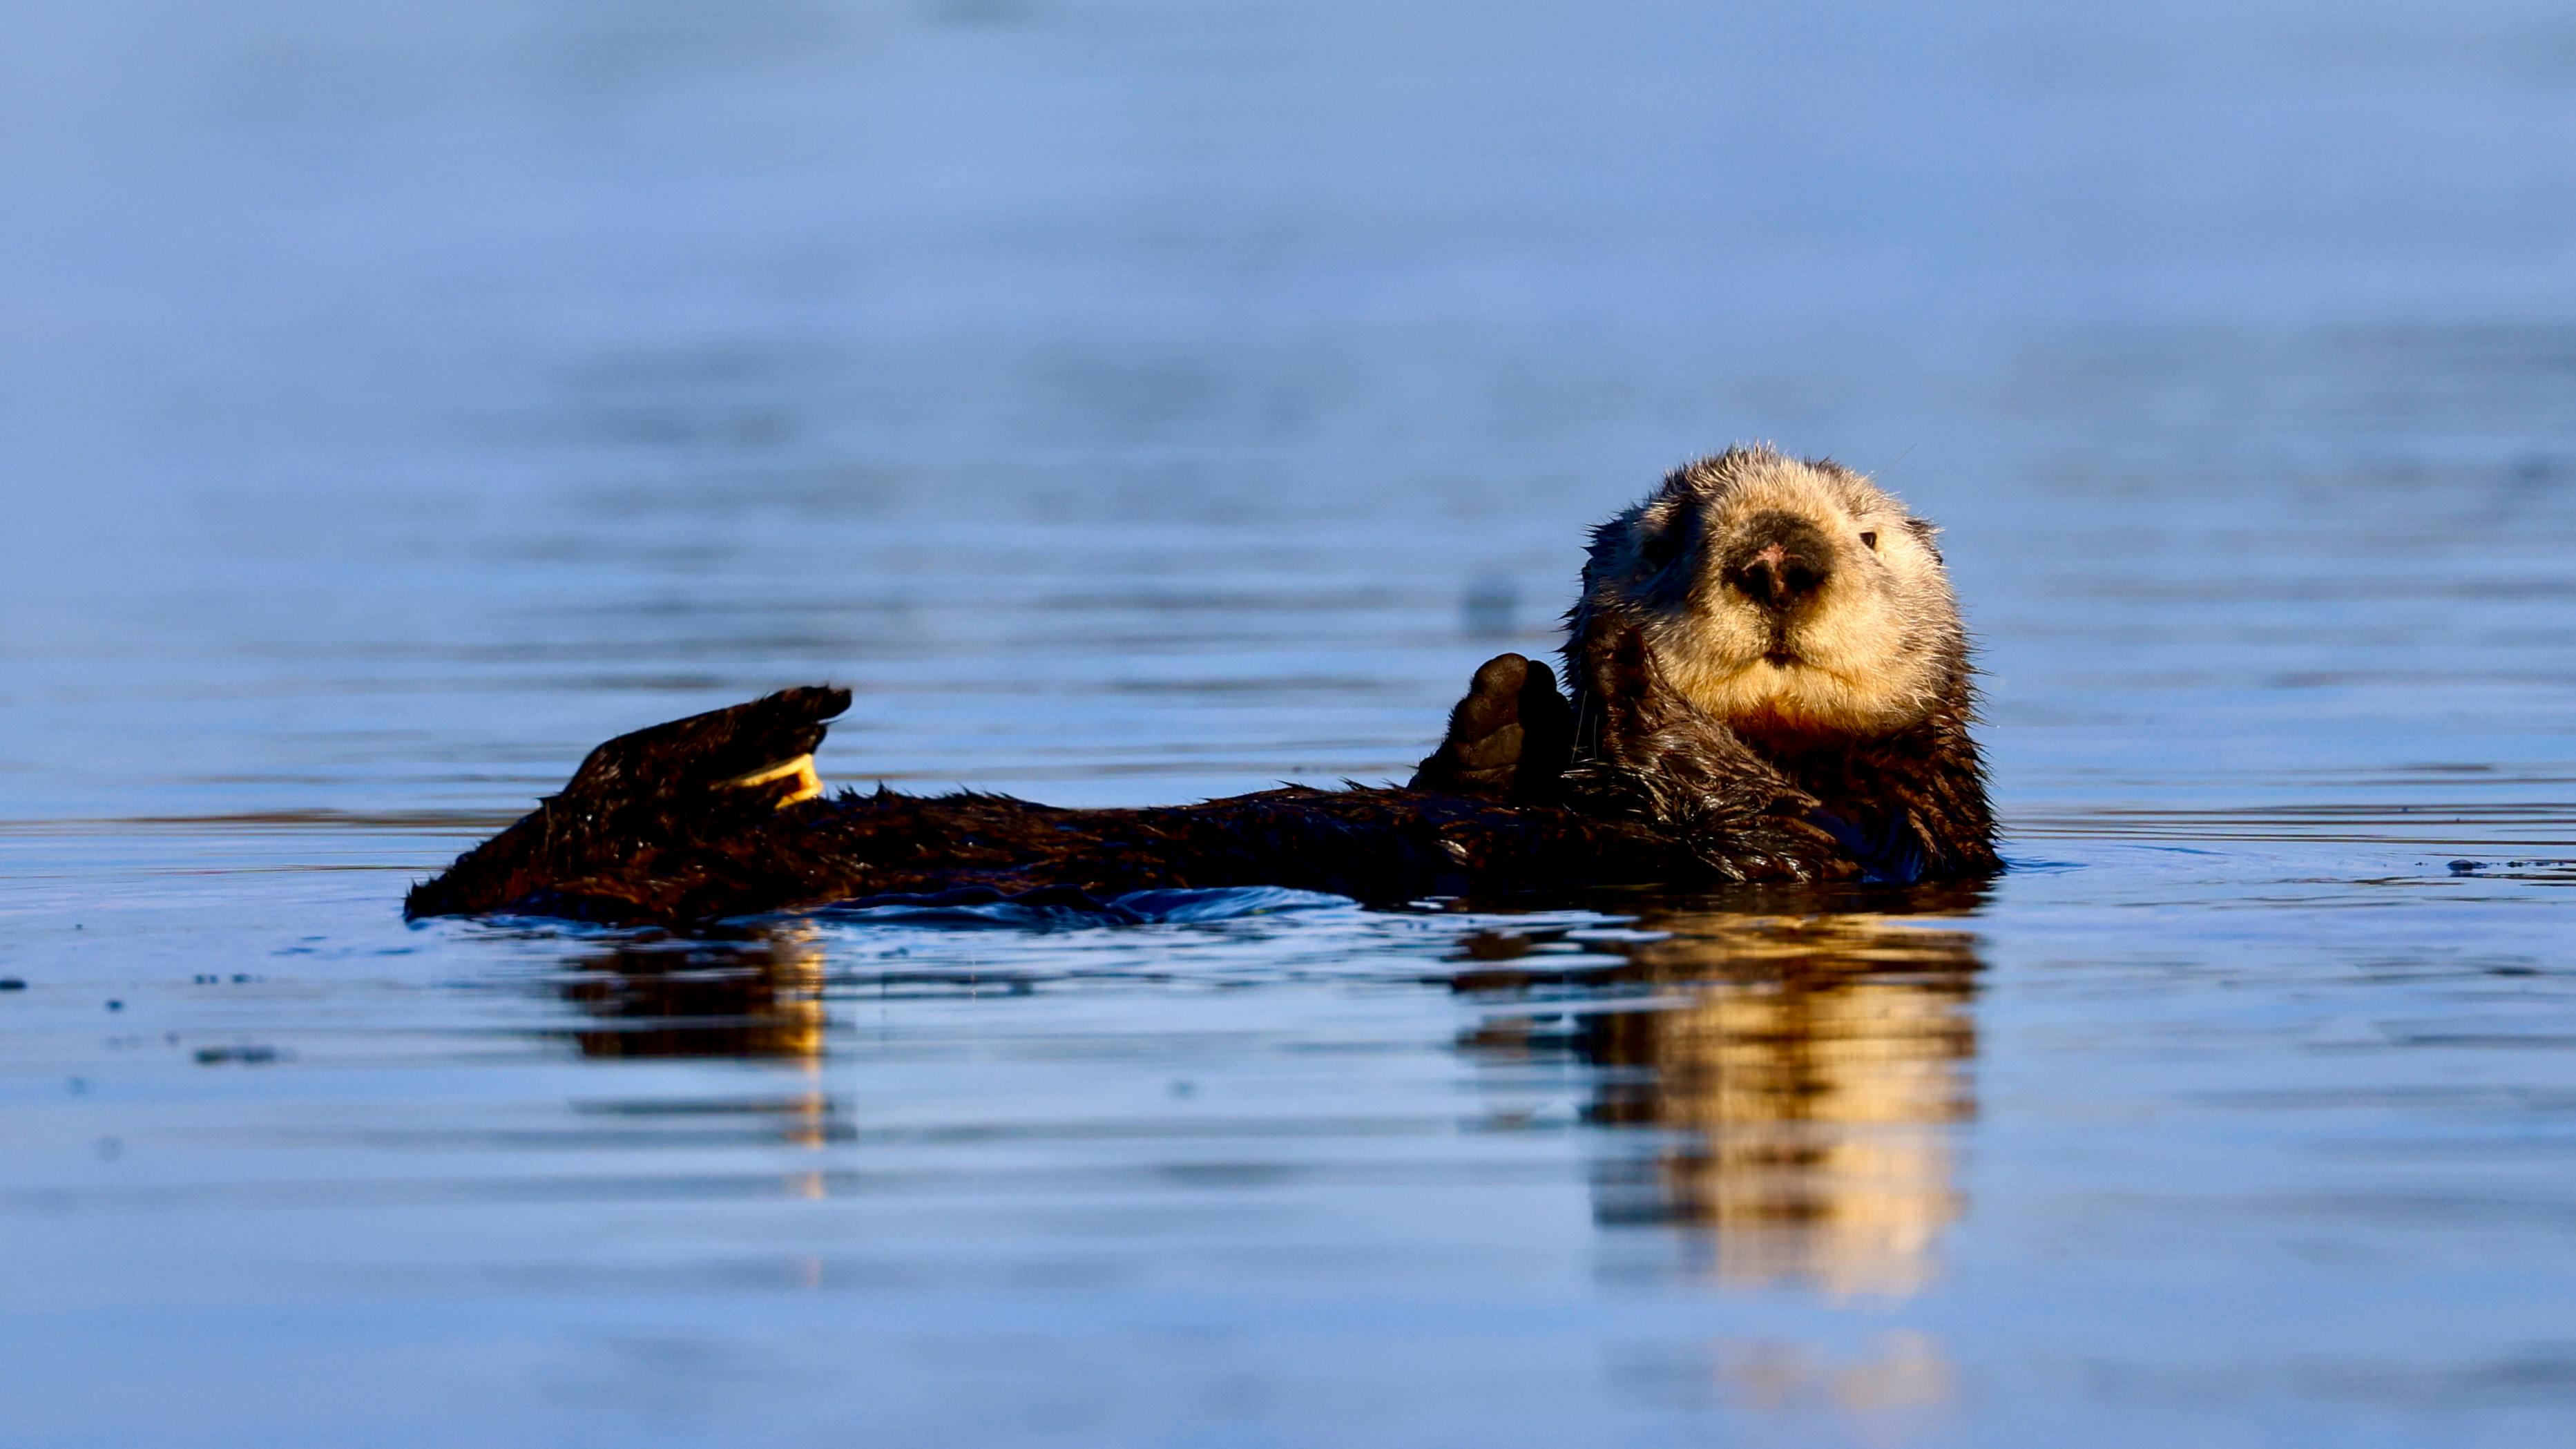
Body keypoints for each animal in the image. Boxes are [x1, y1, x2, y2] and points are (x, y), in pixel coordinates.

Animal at [406, 447, 1994, 927]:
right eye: (1670, 532)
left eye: (1861, 537)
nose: (1778, 558)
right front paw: (1510, 690)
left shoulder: (1875, 839)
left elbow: (1743, 823)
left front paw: (1599, 675)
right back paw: (778, 724)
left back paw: (776, 727)